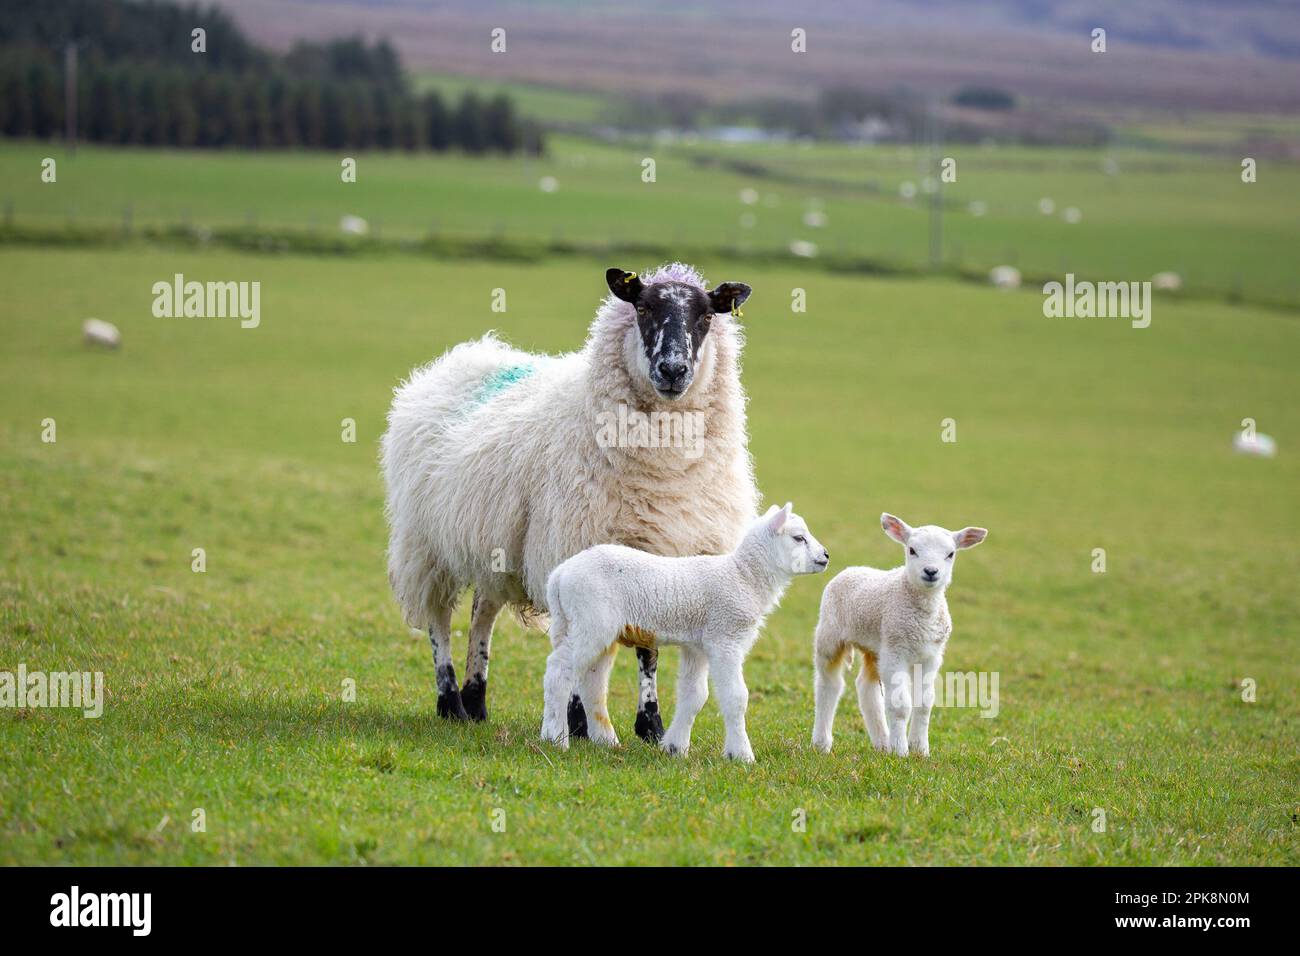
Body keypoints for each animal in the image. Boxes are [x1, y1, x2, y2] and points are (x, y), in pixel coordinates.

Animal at [380, 263, 758, 739]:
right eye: (643, 308)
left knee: (482, 613)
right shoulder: (580, 547)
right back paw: (451, 702)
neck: (665, 472)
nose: (673, 370)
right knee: (438, 621)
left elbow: (648, 648)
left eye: (707, 315)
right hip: (425, 544)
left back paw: (476, 698)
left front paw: (649, 724)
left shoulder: (659, 558)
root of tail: (466, 355)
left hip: (494, 543)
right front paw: (579, 721)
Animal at [542, 503, 829, 762]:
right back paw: (556, 739)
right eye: (799, 538)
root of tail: (559, 576)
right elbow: (736, 697)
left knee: (592, 681)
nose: (826, 556)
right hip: (590, 621)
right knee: (559, 670)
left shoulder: (697, 646)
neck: (744, 576)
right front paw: (741, 755)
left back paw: (603, 740)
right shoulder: (725, 637)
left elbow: (694, 696)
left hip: (580, 625)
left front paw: (675, 748)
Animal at [811, 513, 987, 757]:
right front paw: (901, 751)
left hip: (876, 646)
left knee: (866, 687)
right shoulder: (896, 650)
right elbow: (900, 705)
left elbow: (924, 704)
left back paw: (882, 743)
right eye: (912, 550)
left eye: (950, 554)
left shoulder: (931, 655)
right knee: (829, 684)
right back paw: (822, 743)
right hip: (830, 633)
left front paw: (920, 750)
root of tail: (851, 568)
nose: (931, 571)